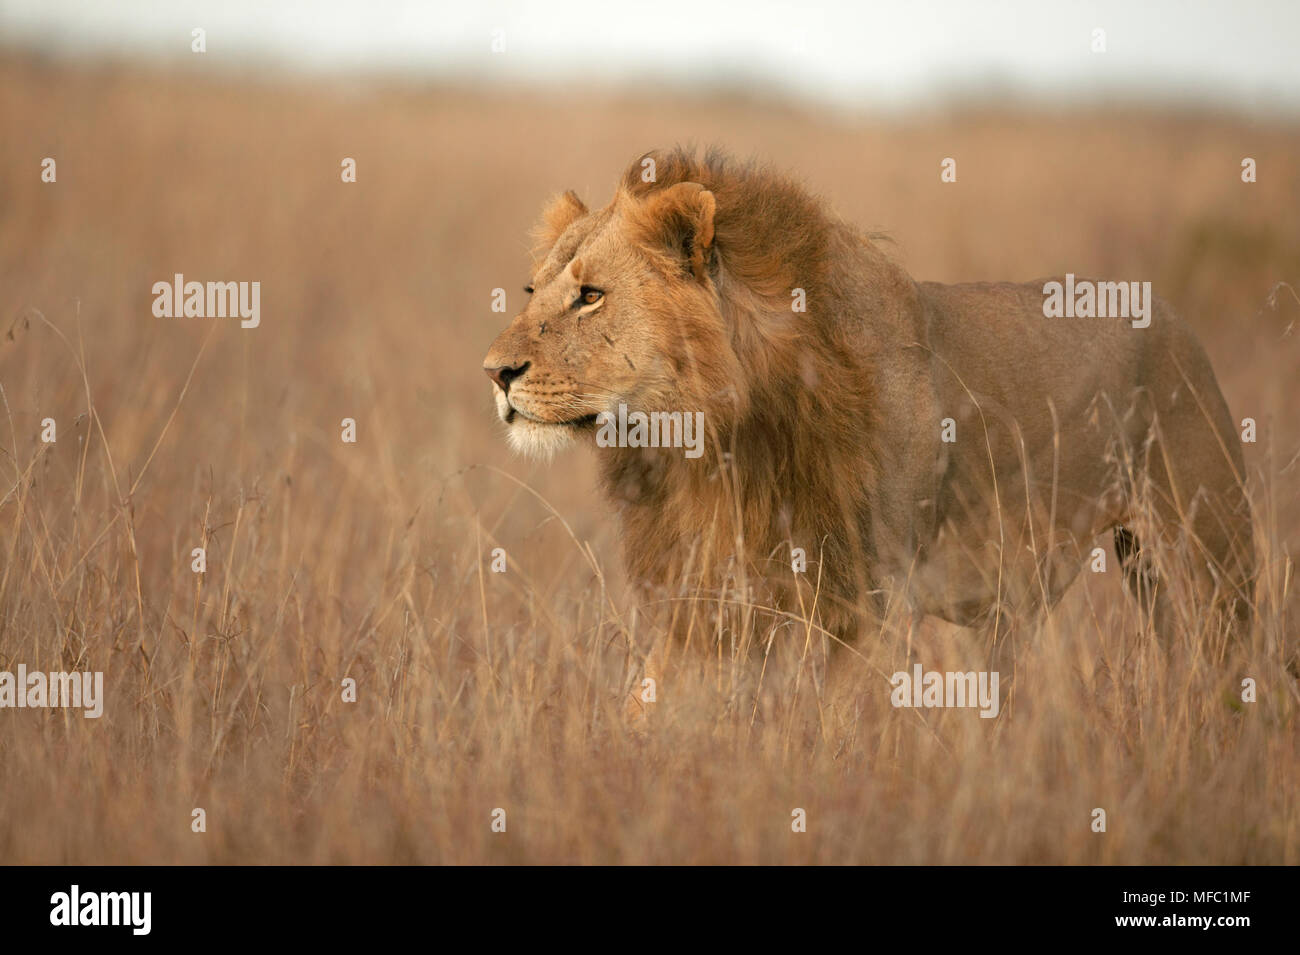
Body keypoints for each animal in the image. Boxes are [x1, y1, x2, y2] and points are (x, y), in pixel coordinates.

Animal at [482, 147, 1254, 658]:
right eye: (532, 291)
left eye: (591, 295)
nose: (495, 372)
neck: (711, 438)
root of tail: (1175, 316)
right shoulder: (700, 591)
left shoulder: (867, 599)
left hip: (1204, 555)